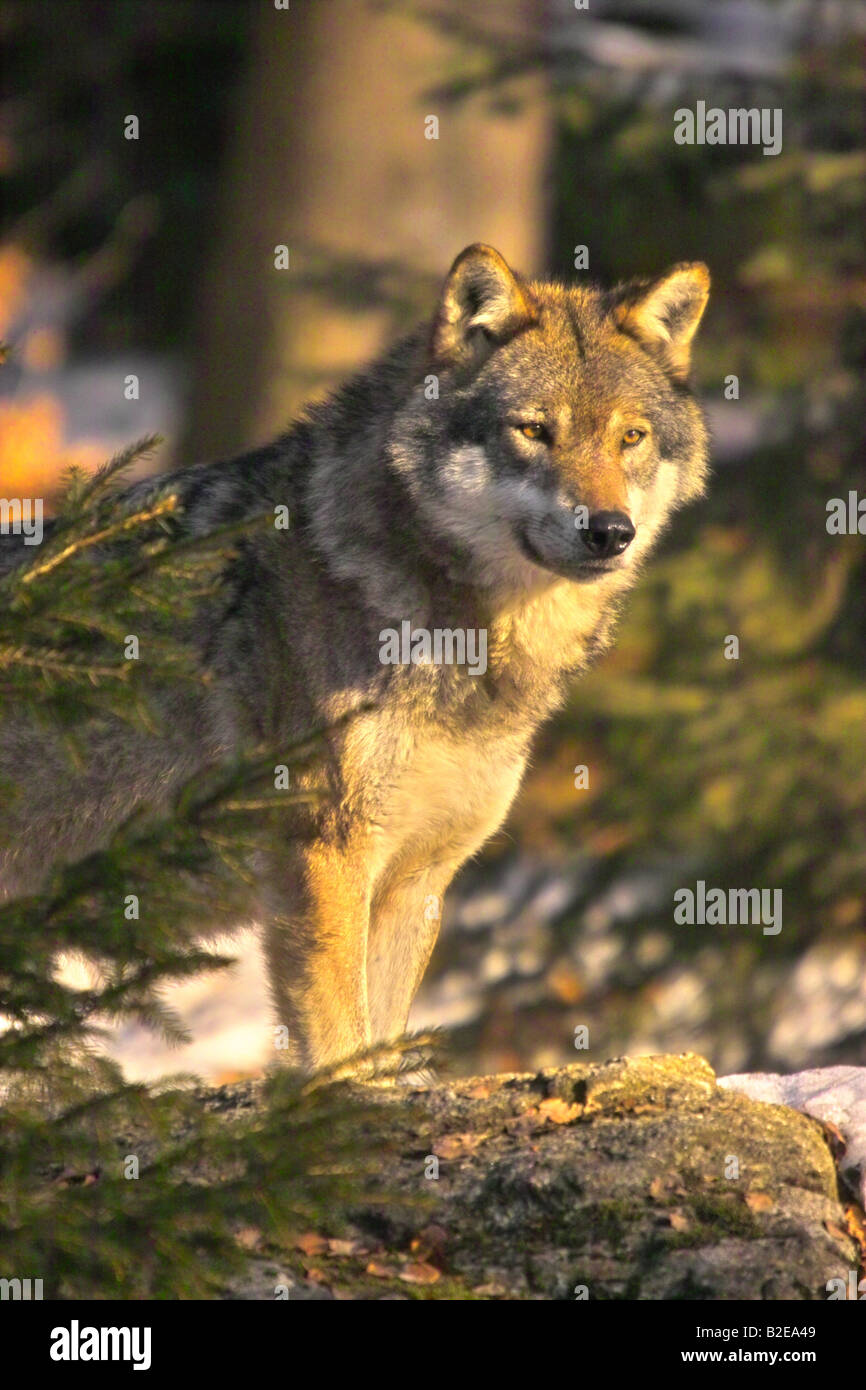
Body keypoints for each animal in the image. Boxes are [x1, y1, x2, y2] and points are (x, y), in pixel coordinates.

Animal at [0, 245, 710, 1072]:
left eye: (631, 437)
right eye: (534, 430)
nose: (608, 531)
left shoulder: (417, 879)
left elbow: (384, 1039)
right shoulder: (326, 855)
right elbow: (341, 1046)